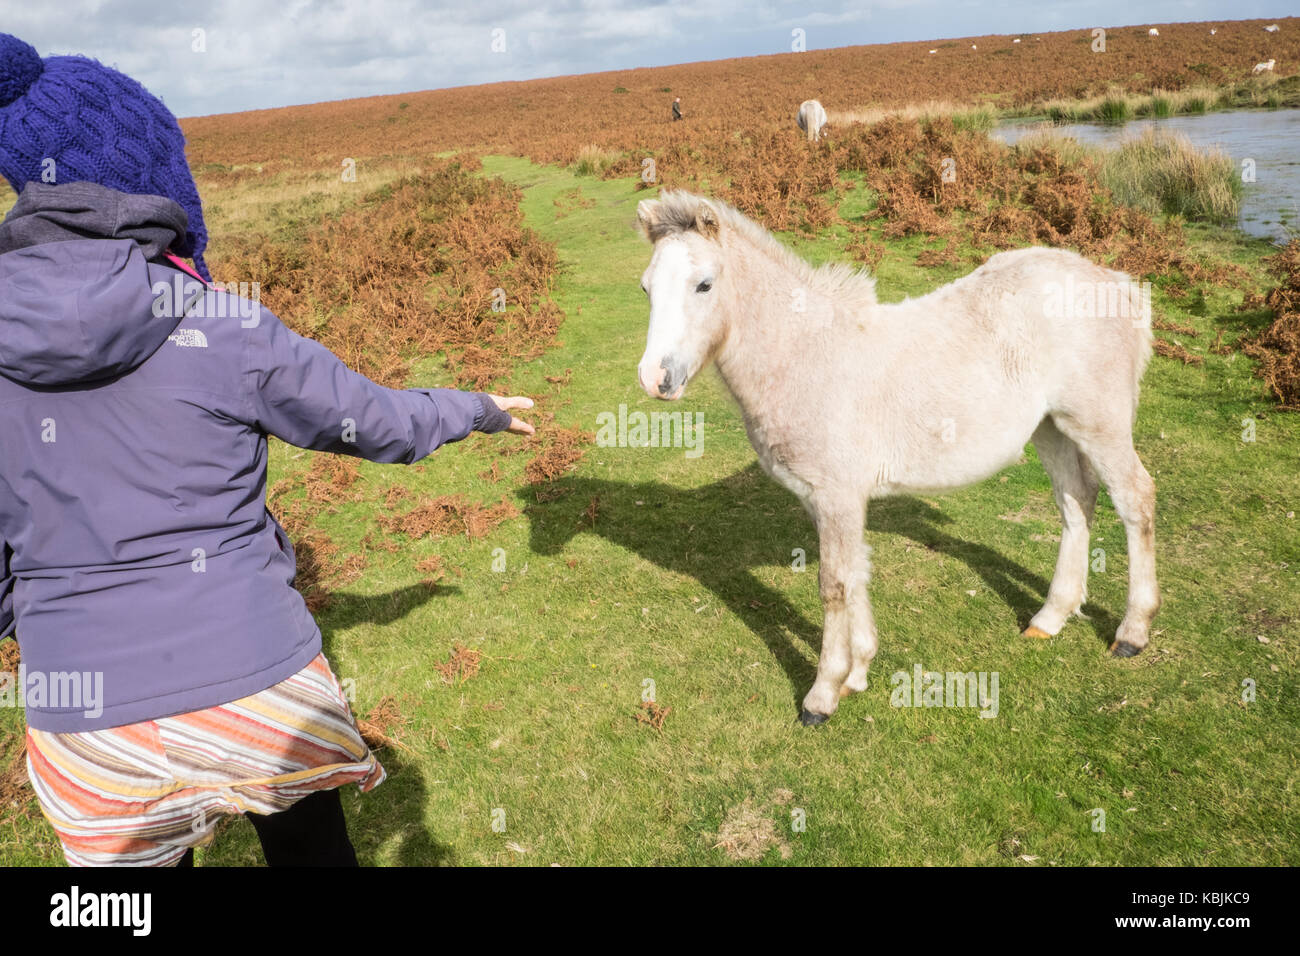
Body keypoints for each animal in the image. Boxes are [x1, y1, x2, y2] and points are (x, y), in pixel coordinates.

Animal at [634, 191, 1160, 725]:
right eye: (646, 288)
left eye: (704, 284)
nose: (656, 379)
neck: (806, 355)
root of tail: (1116, 283)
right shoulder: (826, 499)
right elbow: (855, 574)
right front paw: (858, 675)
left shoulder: (838, 497)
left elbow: (833, 584)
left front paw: (822, 696)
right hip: (1051, 427)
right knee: (1076, 500)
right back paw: (1050, 617)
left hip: (1099, 424)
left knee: (1134, 499)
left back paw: (1131, 633)